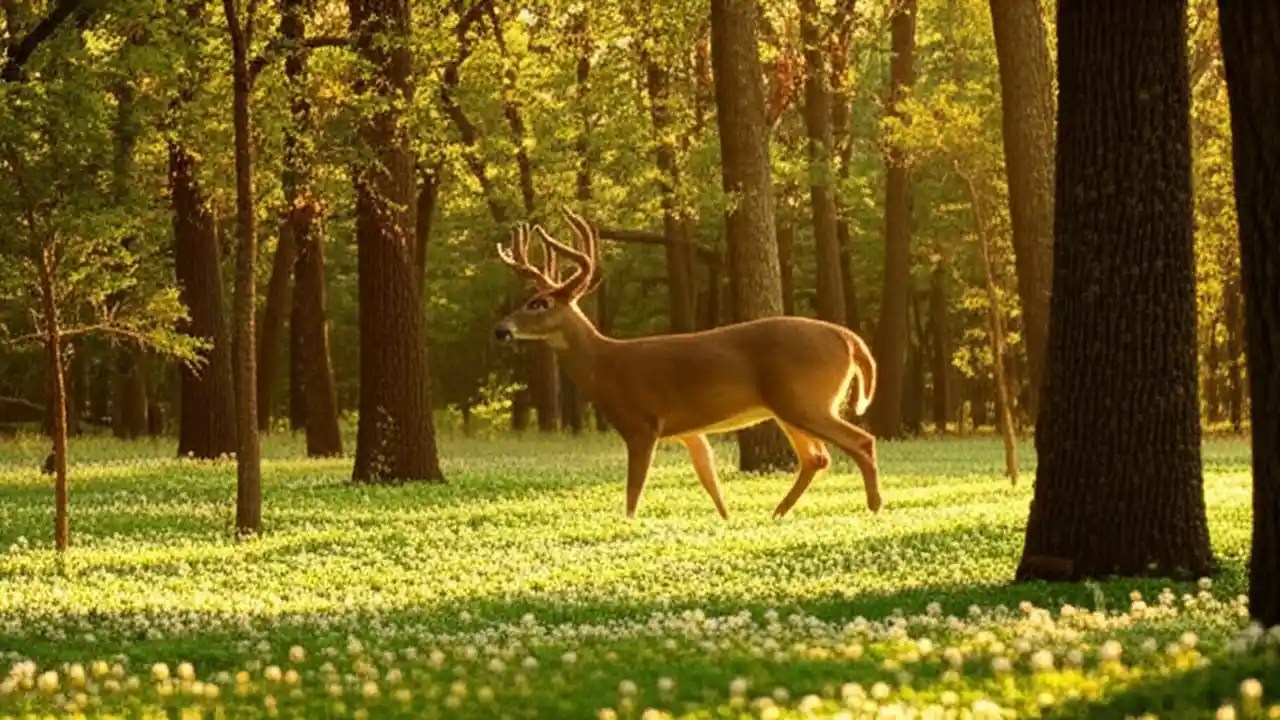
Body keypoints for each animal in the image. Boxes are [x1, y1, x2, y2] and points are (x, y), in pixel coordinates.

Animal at [492, 208, 882, 520]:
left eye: (539, 304)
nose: (500, 330)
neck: (605, 366)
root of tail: (849, 339)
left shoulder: (642, 424)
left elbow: (634, 492)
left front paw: (628, 524)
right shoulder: (688, 430)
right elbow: (710, 482)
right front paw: (726, 519)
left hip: (803, 399)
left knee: (860, 440)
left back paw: (874, 505)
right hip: (789, 405)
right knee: (817, 457)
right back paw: (778, 512)